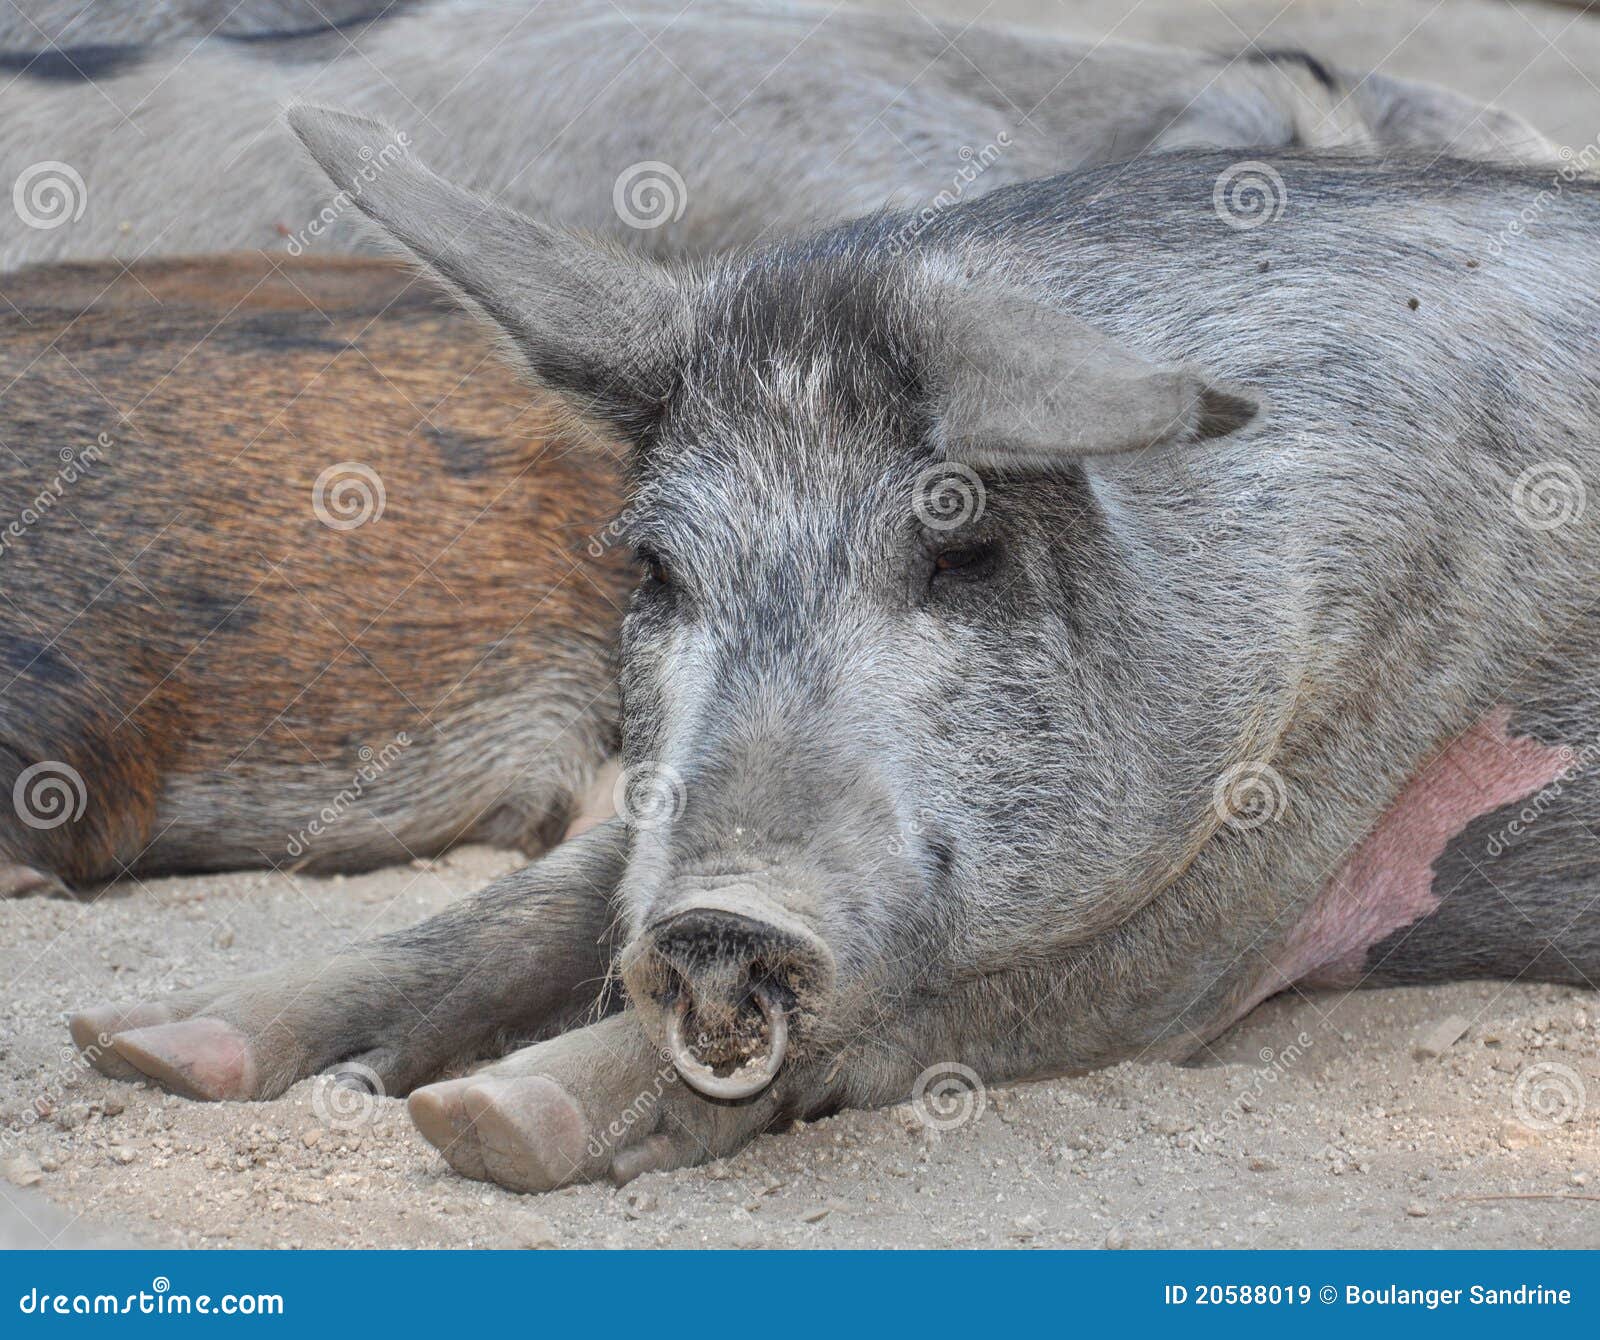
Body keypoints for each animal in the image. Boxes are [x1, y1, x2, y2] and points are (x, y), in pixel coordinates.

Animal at [72, 109, 1600, 1192]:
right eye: (653, 566)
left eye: (963, 551)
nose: (724, 911)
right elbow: (556, 889)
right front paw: (146, 1044)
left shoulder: (1274, 854)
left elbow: (936, 1008)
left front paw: (485, 1119)